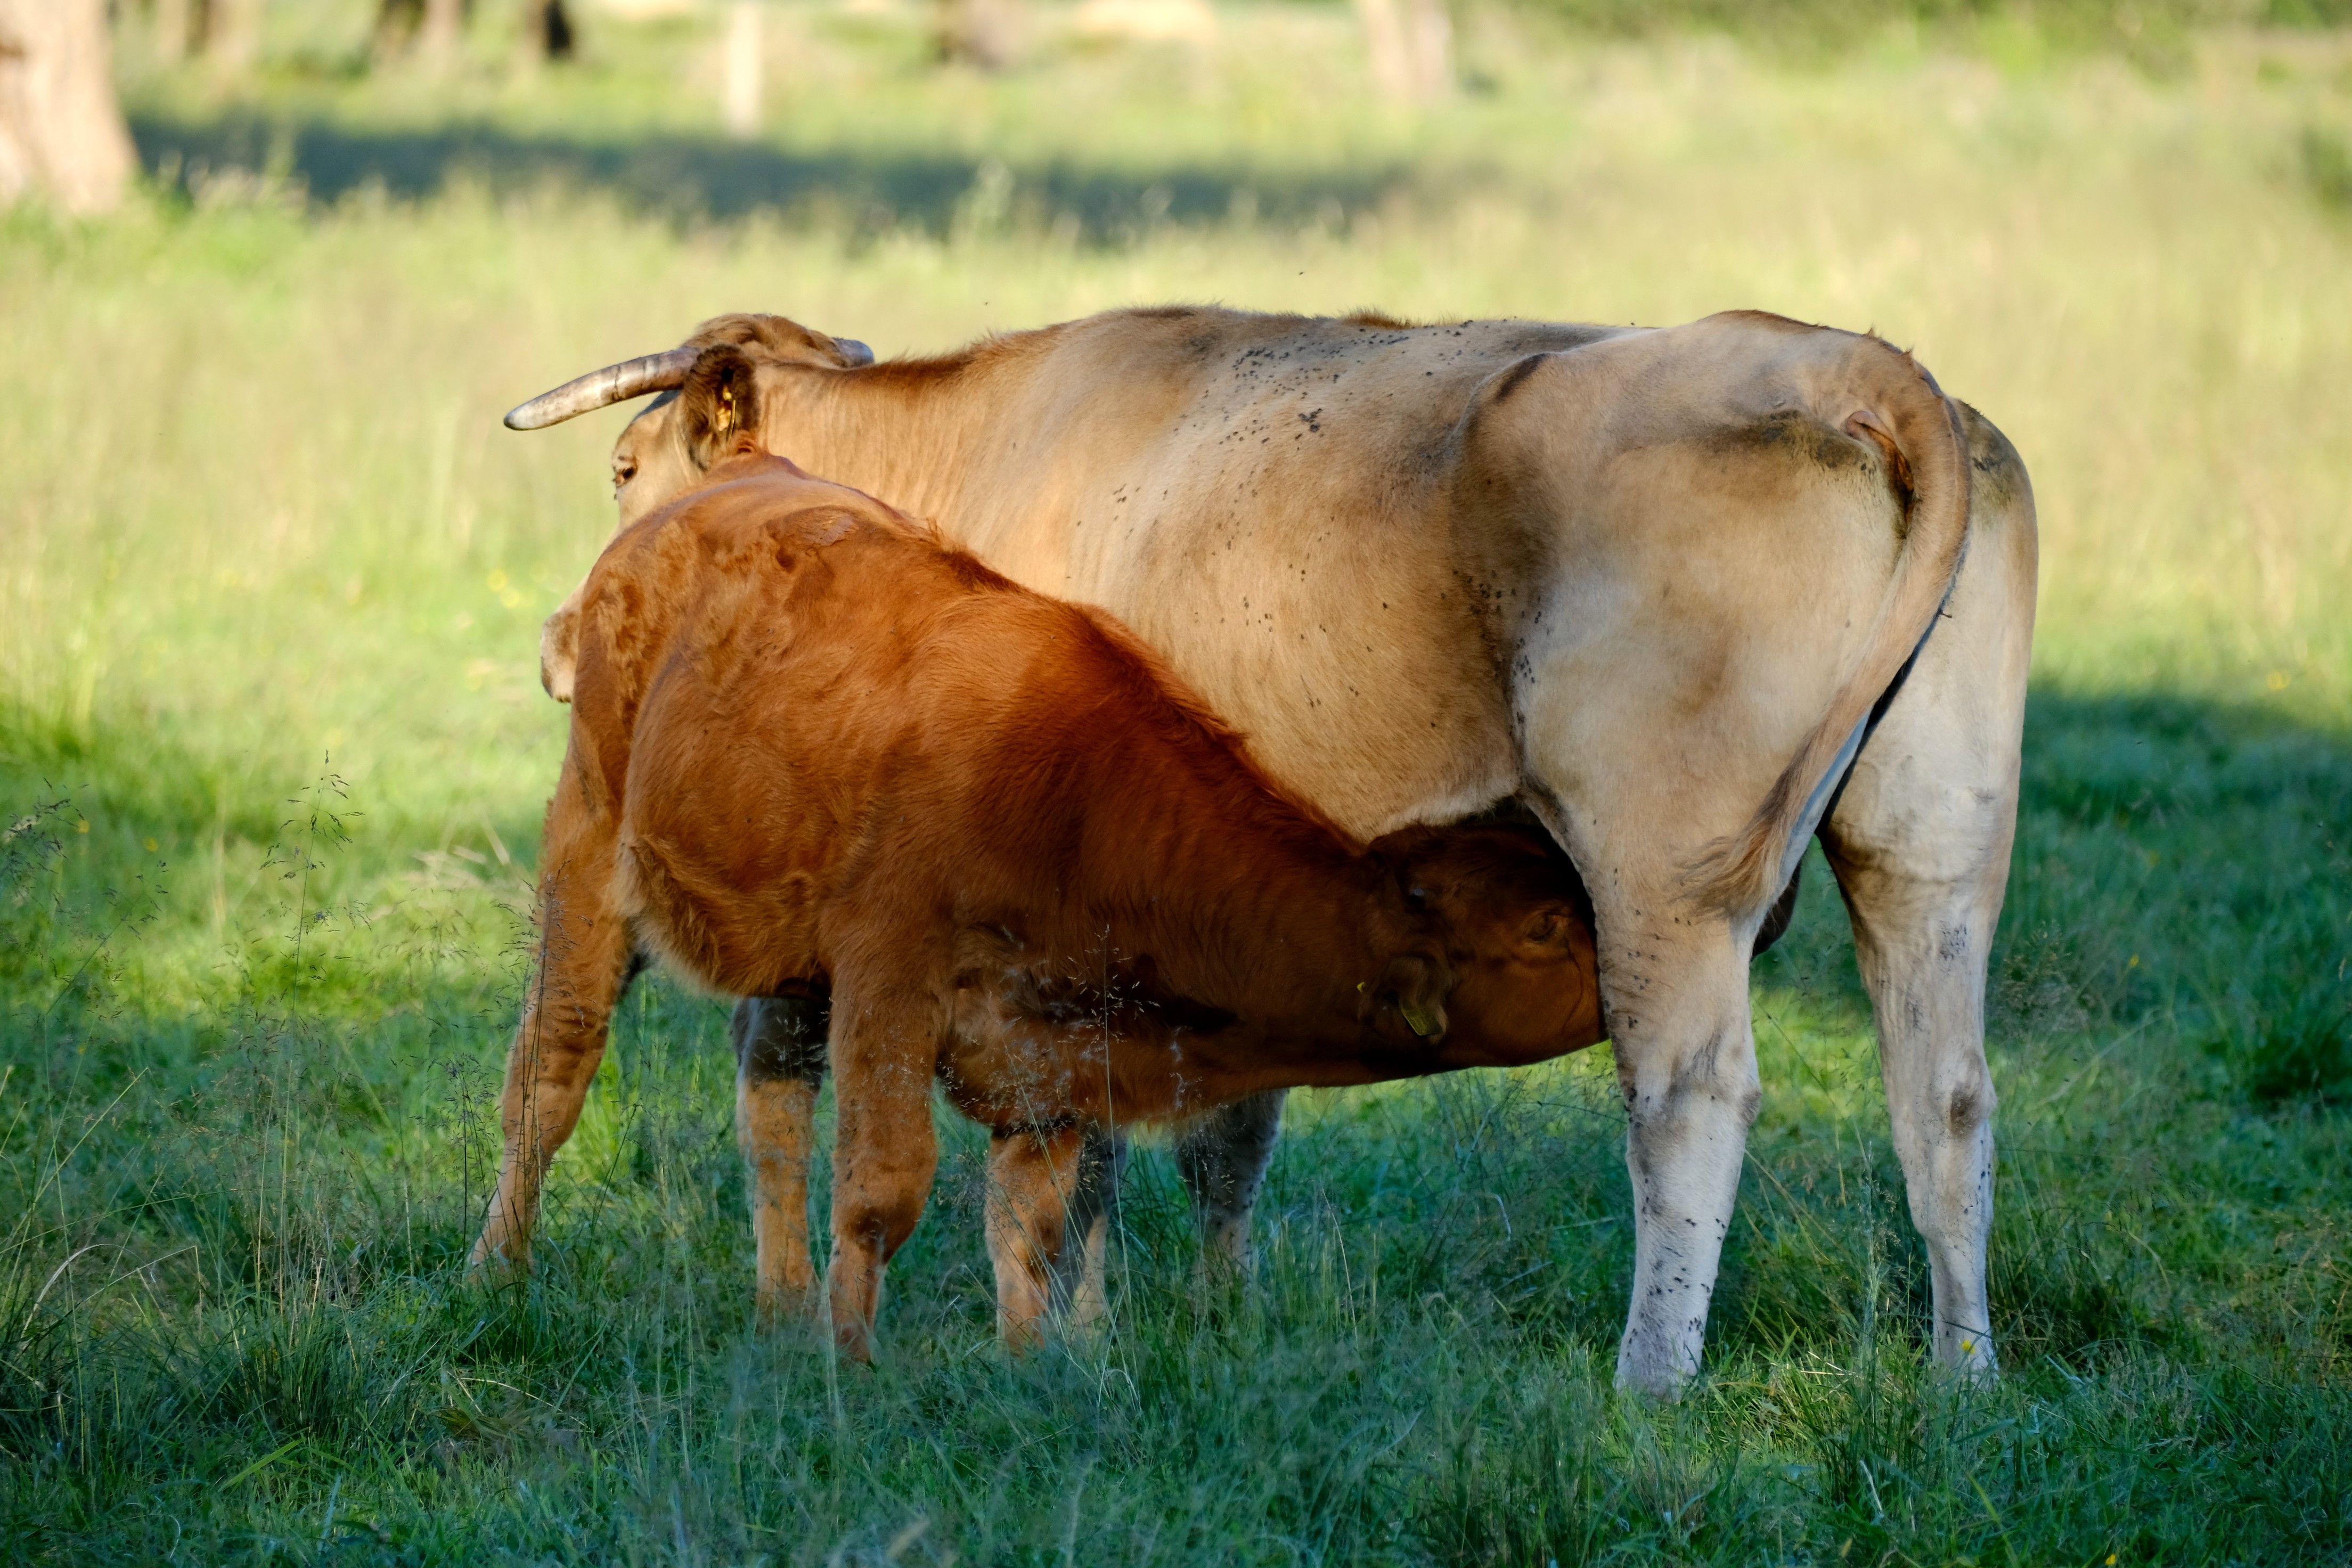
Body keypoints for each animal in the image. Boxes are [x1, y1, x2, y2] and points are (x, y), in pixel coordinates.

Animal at [470, 447, 1608, 1354]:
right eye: (1547, 926)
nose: (1628, 976)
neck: (1069, 793)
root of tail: (727, 479)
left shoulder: (1050, 1047)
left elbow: (1031, 1222)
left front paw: (1027, 1365)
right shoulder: (891, 983)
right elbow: (885, 1189)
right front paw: (855, 1366)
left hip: (788, 966)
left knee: (773, 1100)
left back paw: (781, 1310)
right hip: (588, 855)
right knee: (551, 1070)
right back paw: (496, 1269)